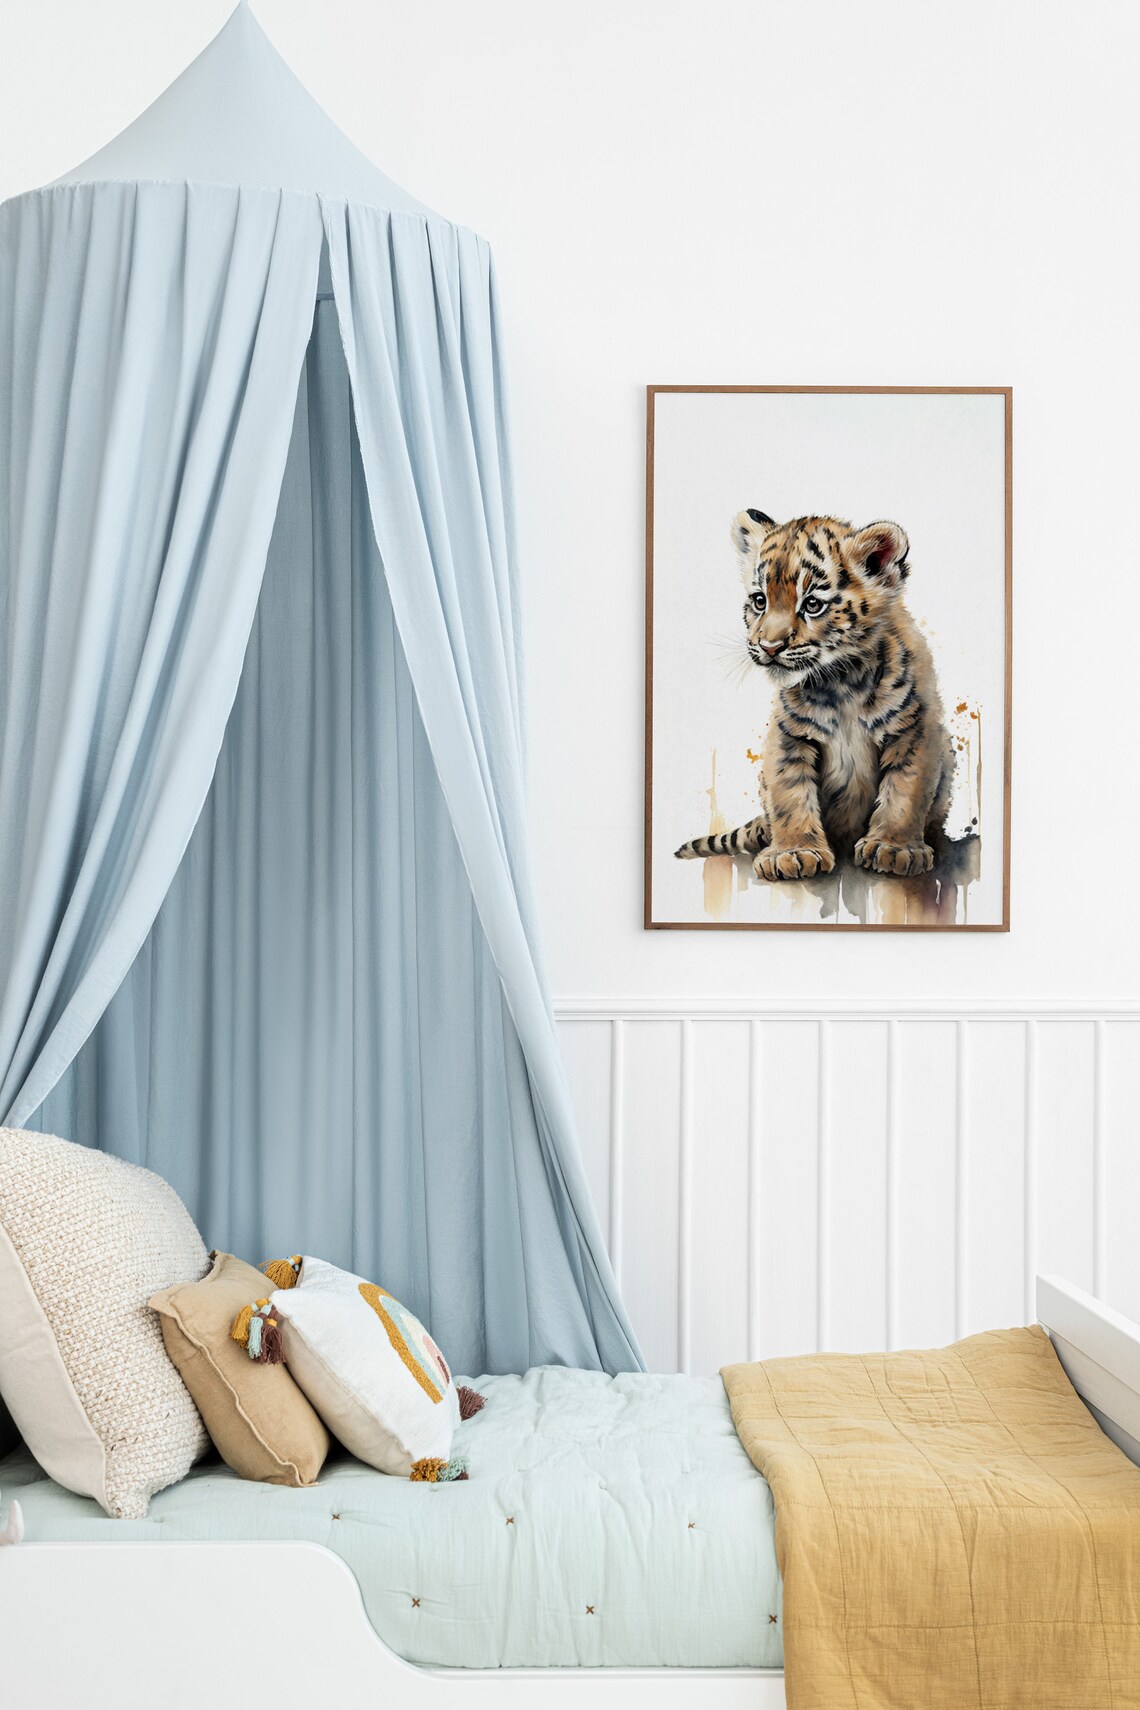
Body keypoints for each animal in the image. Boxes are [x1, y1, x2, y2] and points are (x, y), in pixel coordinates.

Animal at [676, 509, 954, 880]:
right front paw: (792, 852)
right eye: (760, 601)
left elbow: (904, 792)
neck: (841, 683)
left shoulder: (914, 727)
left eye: (812, 604)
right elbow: (789, 794)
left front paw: (893, 849)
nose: (769, 646)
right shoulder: (788, 735)